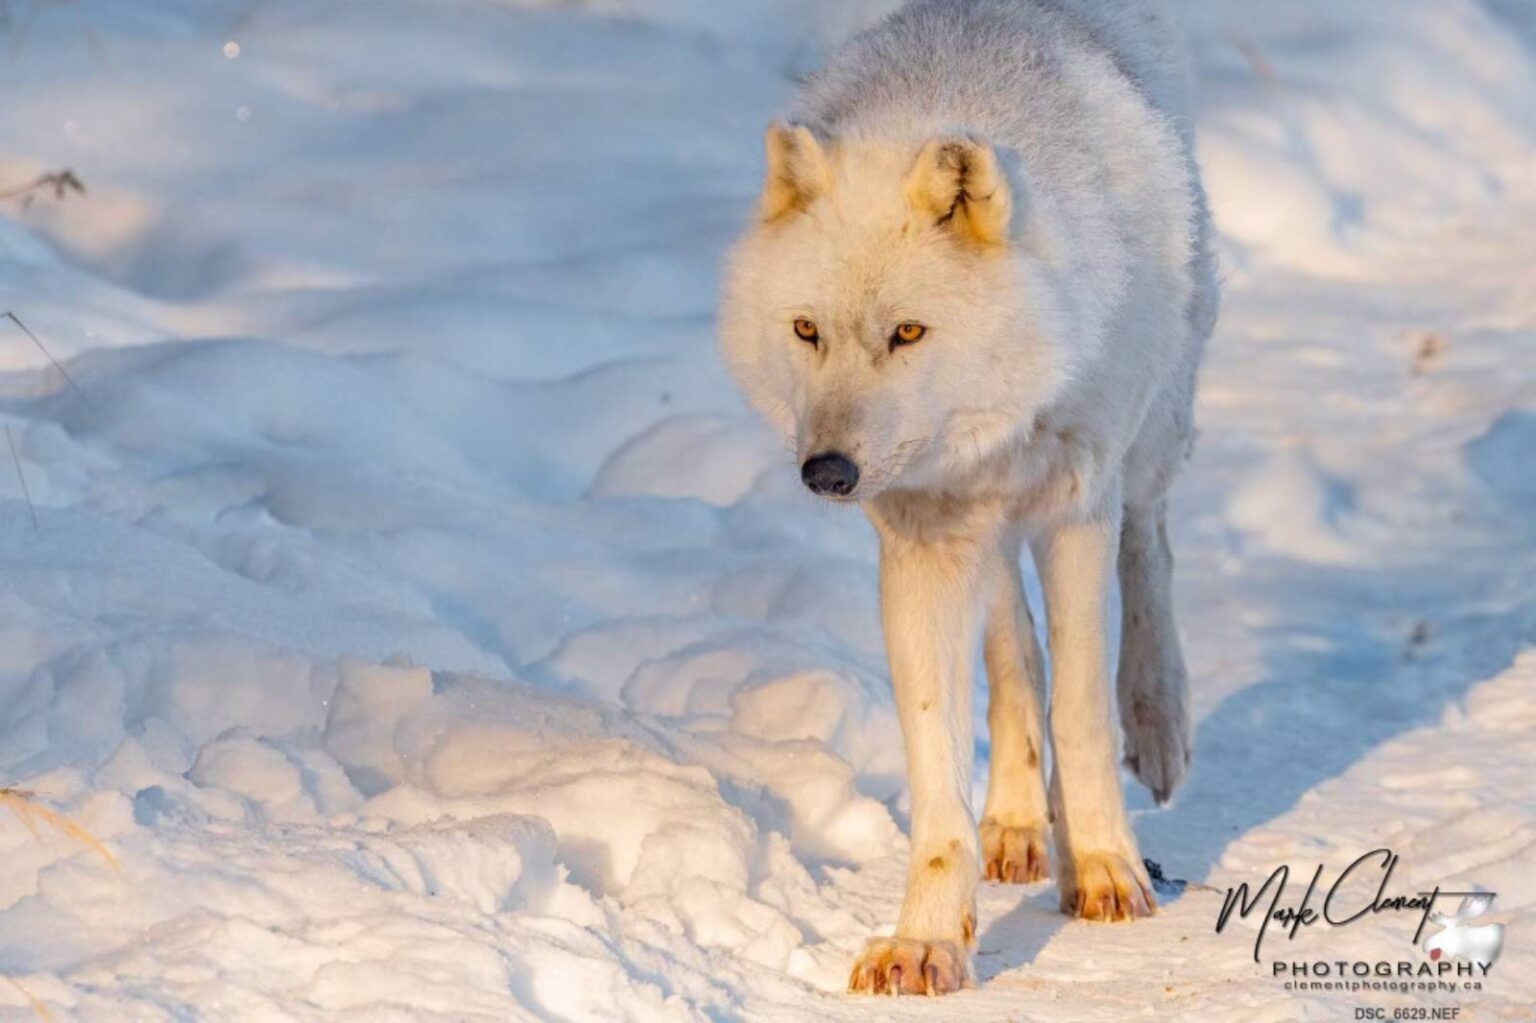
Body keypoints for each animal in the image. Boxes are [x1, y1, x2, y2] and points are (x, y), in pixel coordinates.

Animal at [719, 0, 1217, 996]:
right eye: (806, 330)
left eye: (909, 333)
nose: (827, 472)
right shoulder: (926, 542)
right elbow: (940, 758)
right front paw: (927, 940)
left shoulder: (1076, 508)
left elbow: (1082, 708)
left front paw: (1106, 870)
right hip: (987, 539)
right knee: (1013, 655)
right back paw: (1021, 823)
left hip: (1152, 426)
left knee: (1149, 544)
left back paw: (1157, 724)